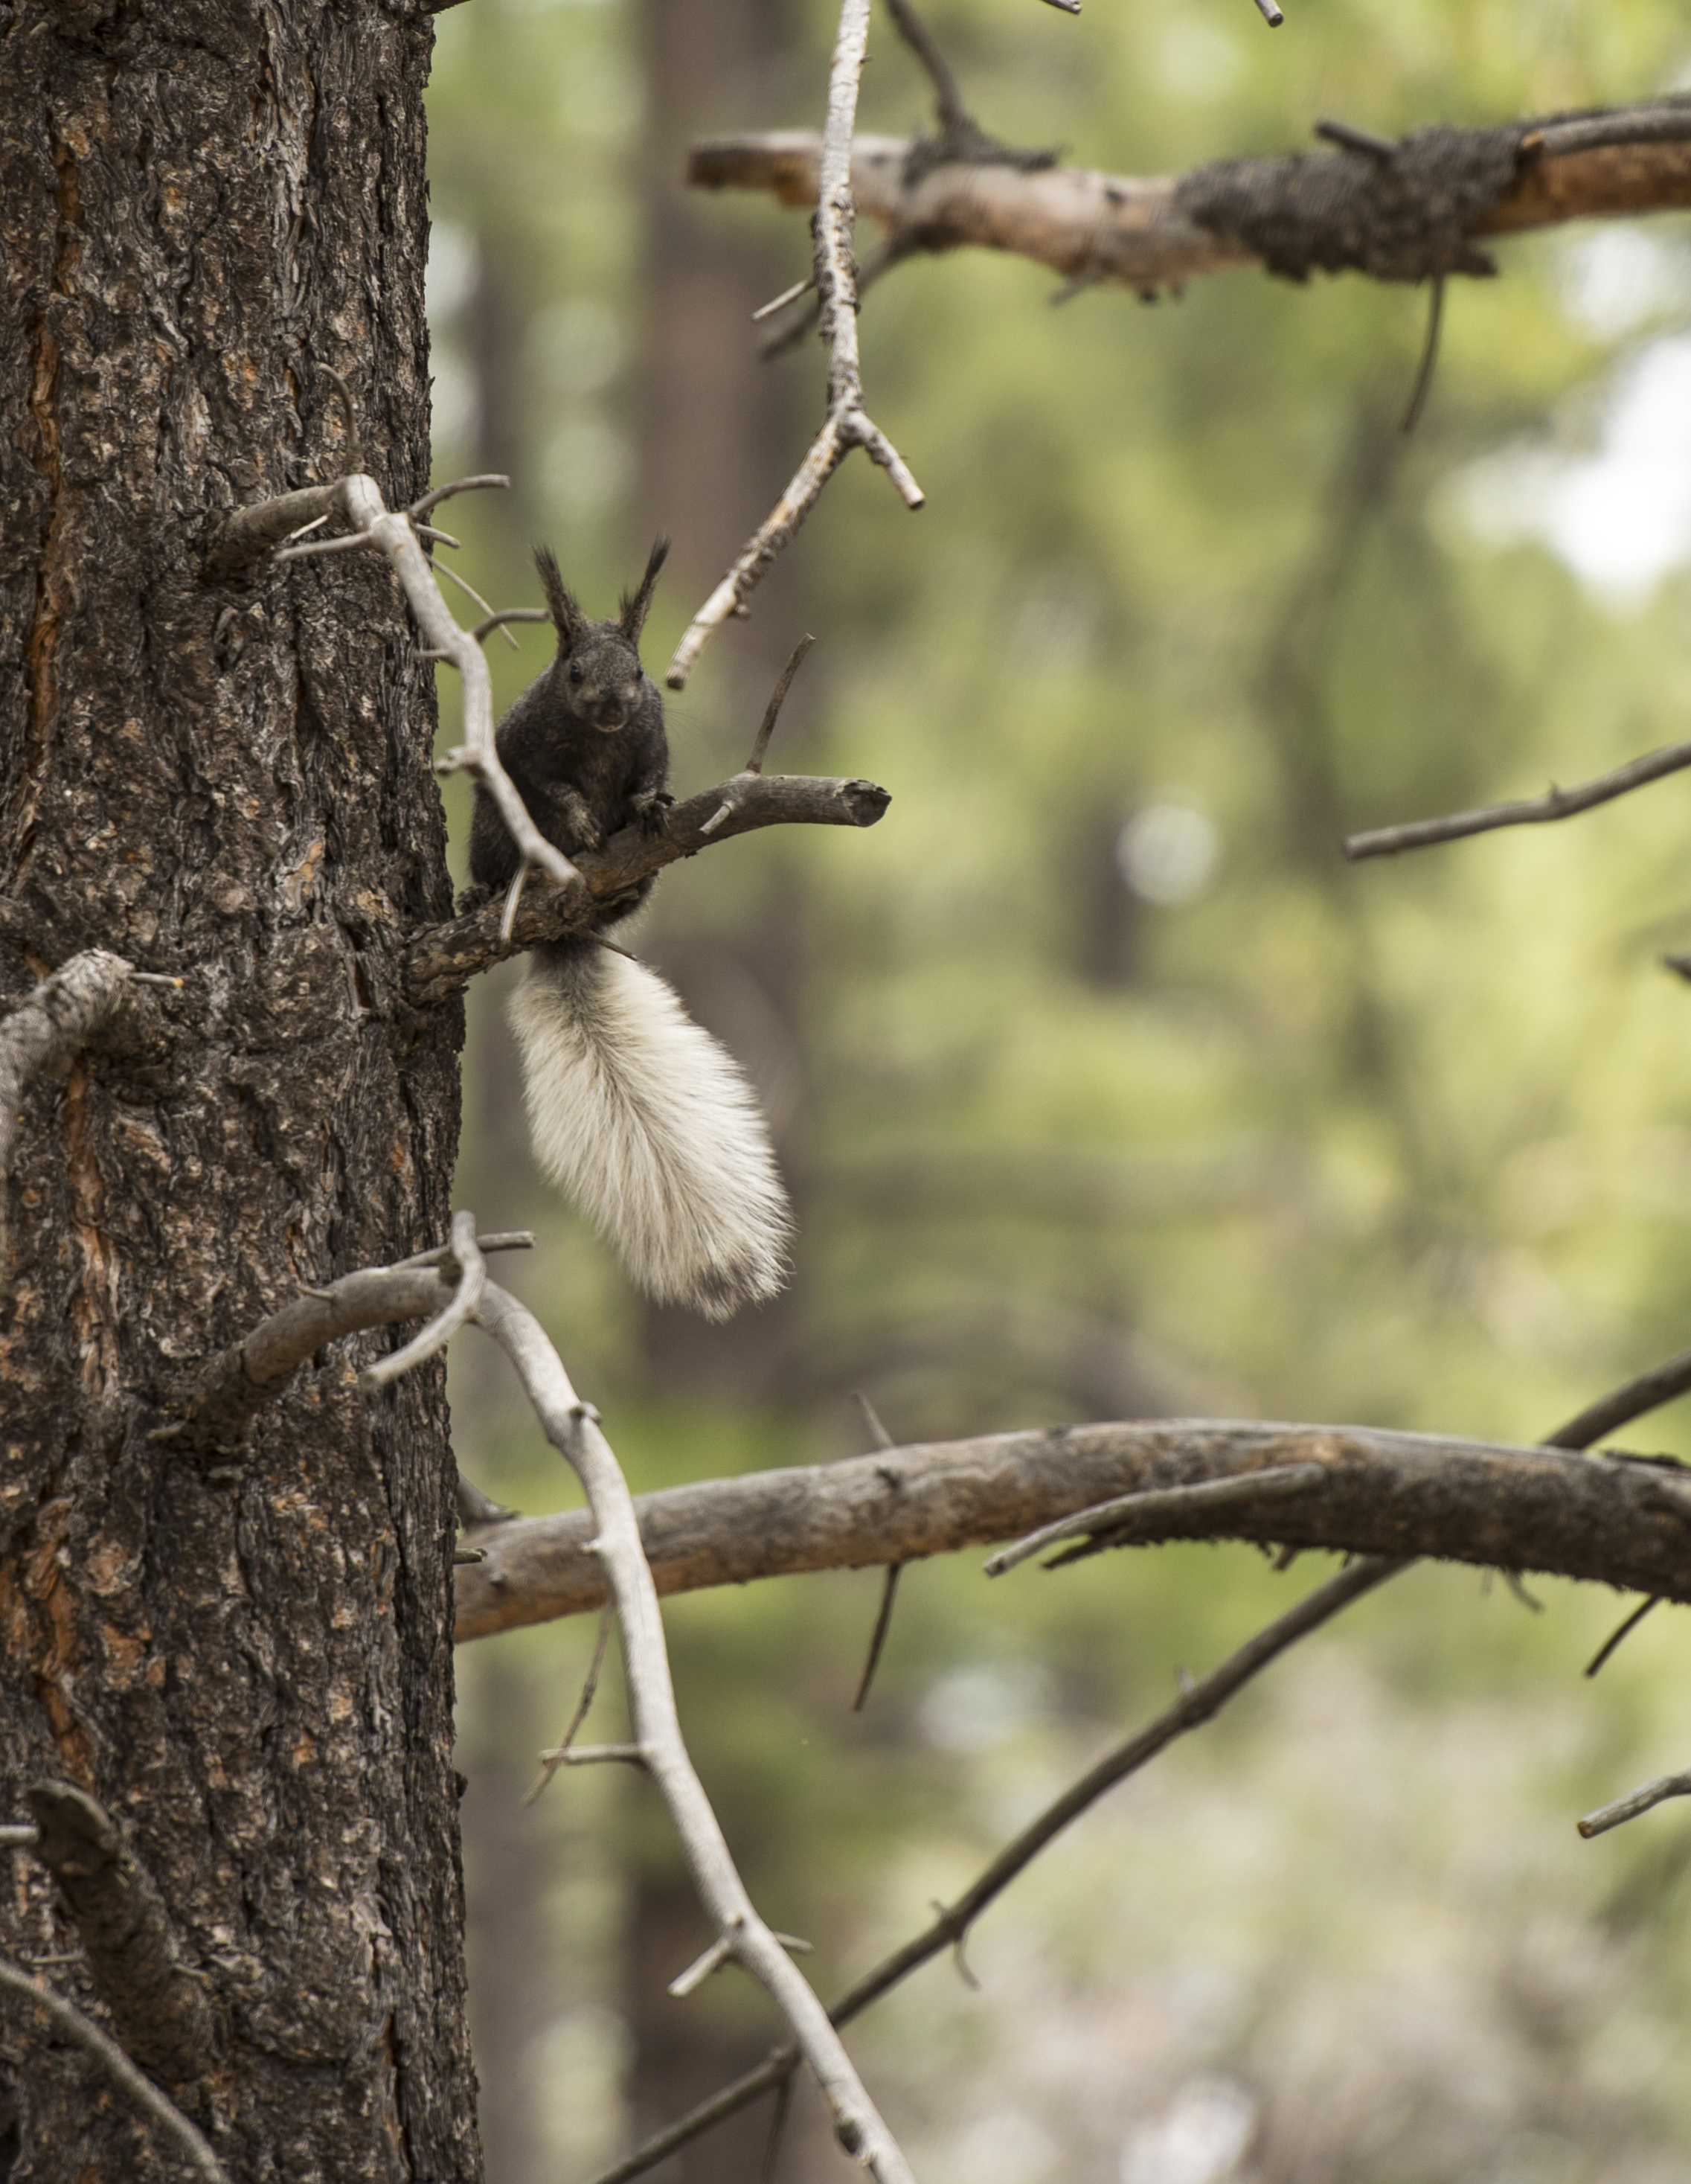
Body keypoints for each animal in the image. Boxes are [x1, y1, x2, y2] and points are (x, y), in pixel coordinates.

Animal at [465, 541, 793, 1321]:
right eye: (574, 673)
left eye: (640, 673)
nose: (615, 705)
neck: (597, 738)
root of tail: (564, 931)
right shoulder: (520, 753)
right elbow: (549, 789)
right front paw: (580, 819)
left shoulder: (650, 745)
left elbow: (648, 777)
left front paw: (644, 807)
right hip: (491, 831)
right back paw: (488, 889)